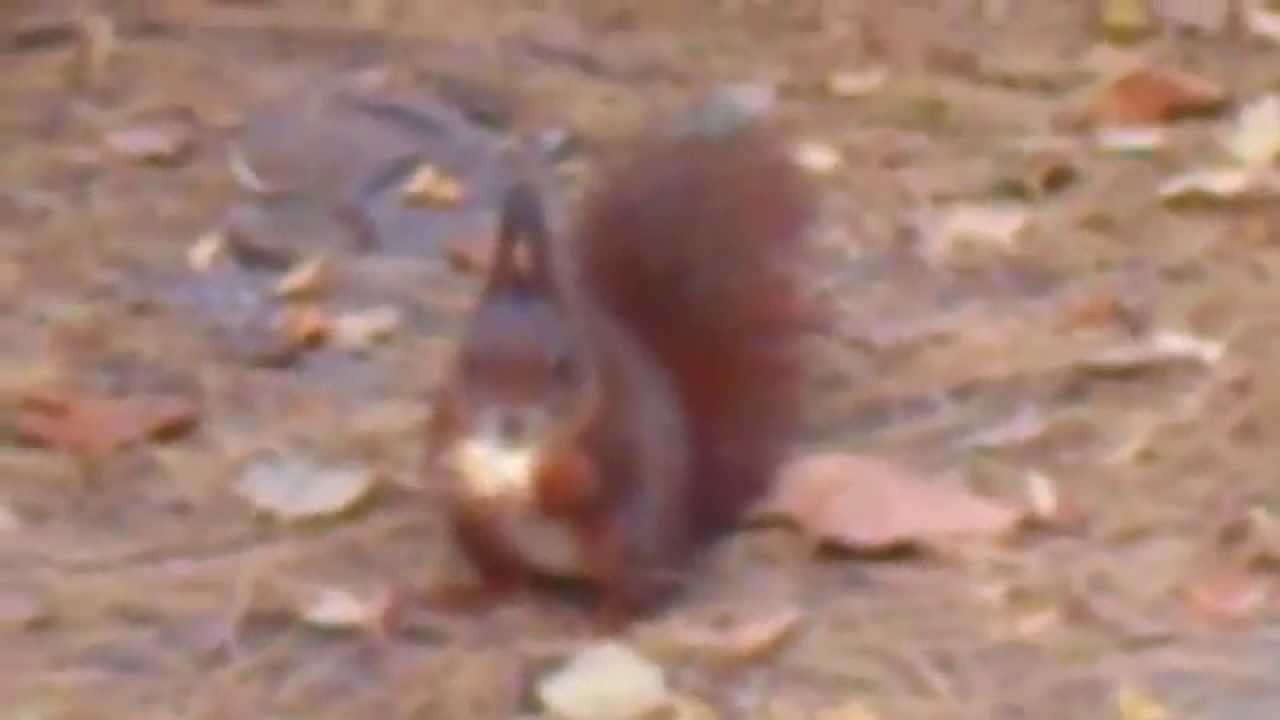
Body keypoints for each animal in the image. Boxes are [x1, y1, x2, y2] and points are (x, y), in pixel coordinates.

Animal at [423, 121, 817, 631]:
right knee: (508, 578)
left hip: (628, 537)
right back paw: (467, 595)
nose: (511, 423)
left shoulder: (612, 435)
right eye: (468, 362)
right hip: (479, 534)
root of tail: (682, 535)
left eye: (564, 367)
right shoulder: (448, 423)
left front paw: (552, 479)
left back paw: (607, 618)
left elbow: (587, 485)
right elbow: (445, 461)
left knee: (635, 589)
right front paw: (461, 474)